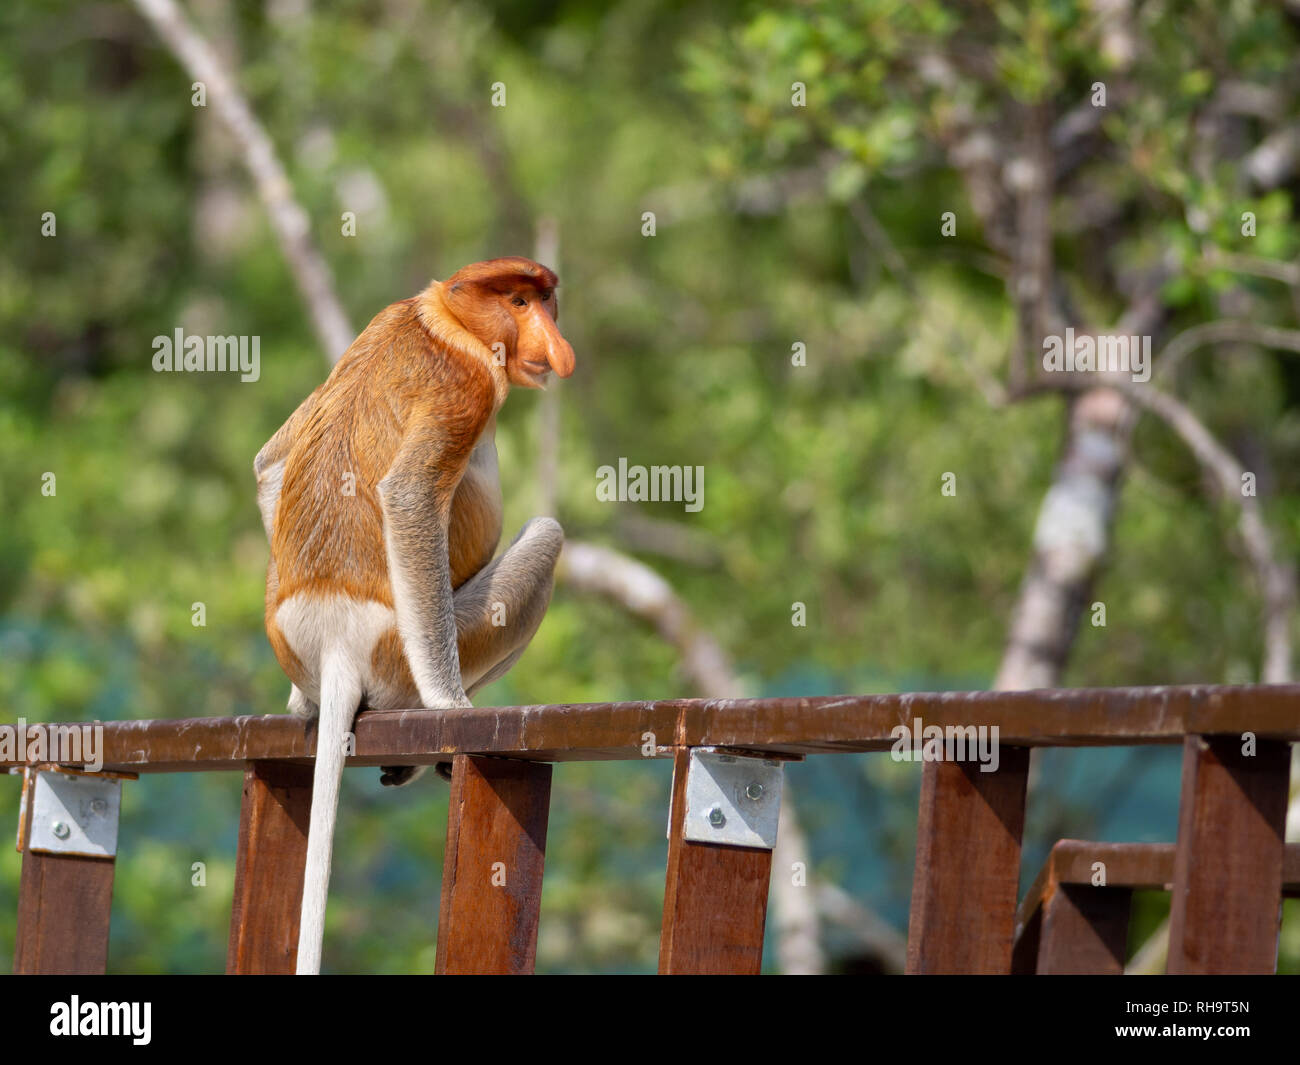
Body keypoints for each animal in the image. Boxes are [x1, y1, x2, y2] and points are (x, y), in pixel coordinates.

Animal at [253, 257, 575, 974]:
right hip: (403, 648)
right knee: (545, 536)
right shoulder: (466, 387)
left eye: (547, 303)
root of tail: (335, 643)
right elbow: (407, 496)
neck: (444, 317)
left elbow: (270, 464)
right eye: (518, 302)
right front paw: (450, 707)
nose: (557, 347)